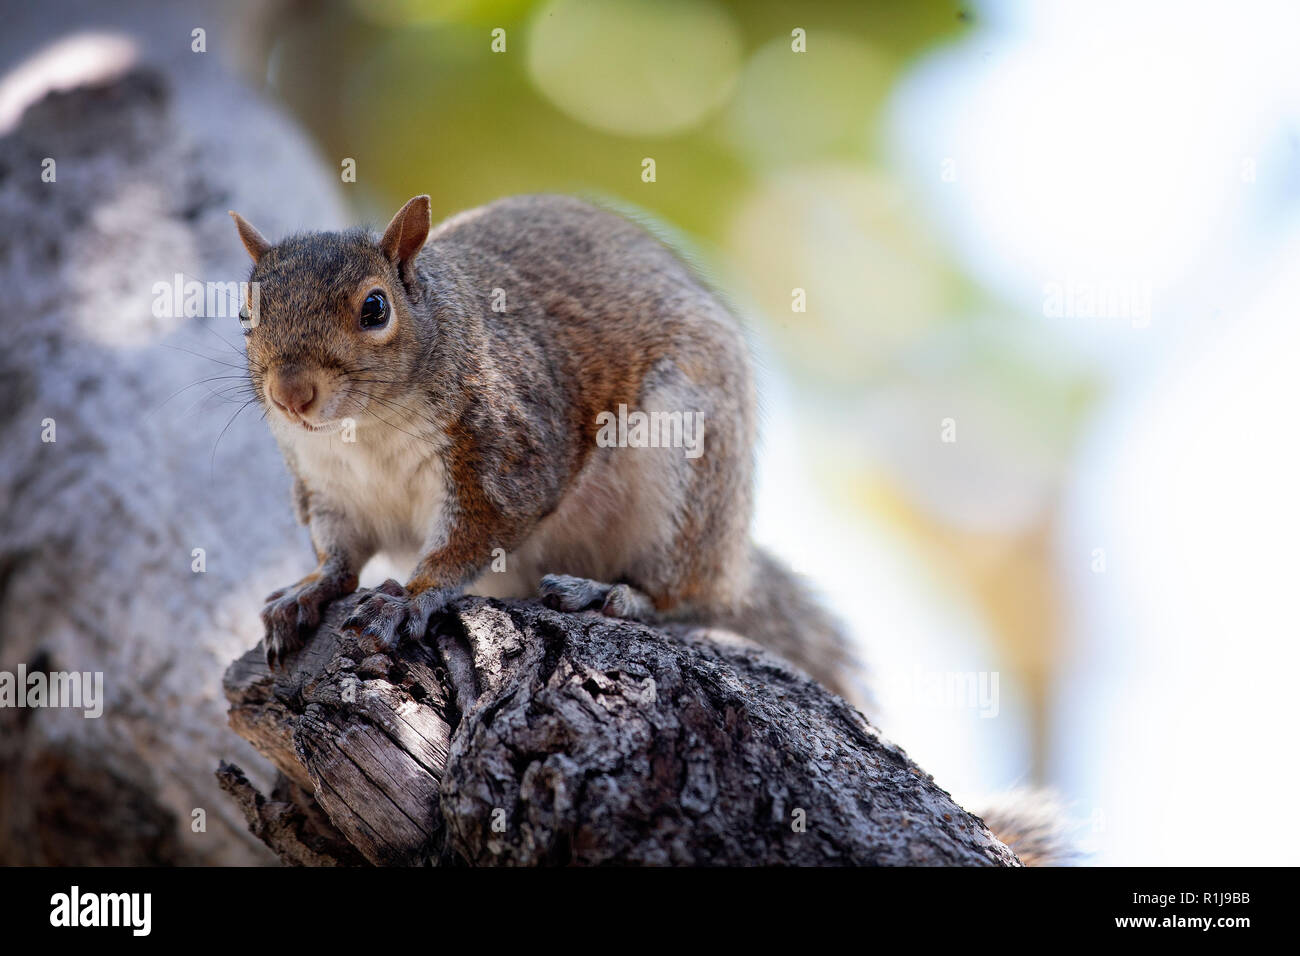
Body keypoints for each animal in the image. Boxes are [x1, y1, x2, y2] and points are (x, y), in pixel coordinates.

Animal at [228, 193, 855, 699]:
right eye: (244, 313)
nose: (291, 395)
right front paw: (309, 589)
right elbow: (339, 551)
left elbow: (472, 537)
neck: (365, 431)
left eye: (375, 308)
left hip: (688, 470)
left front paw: (409, 597)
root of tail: (734, 559)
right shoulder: (325, 485)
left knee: (689, 594)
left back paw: (611, 594)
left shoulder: (506, 453)